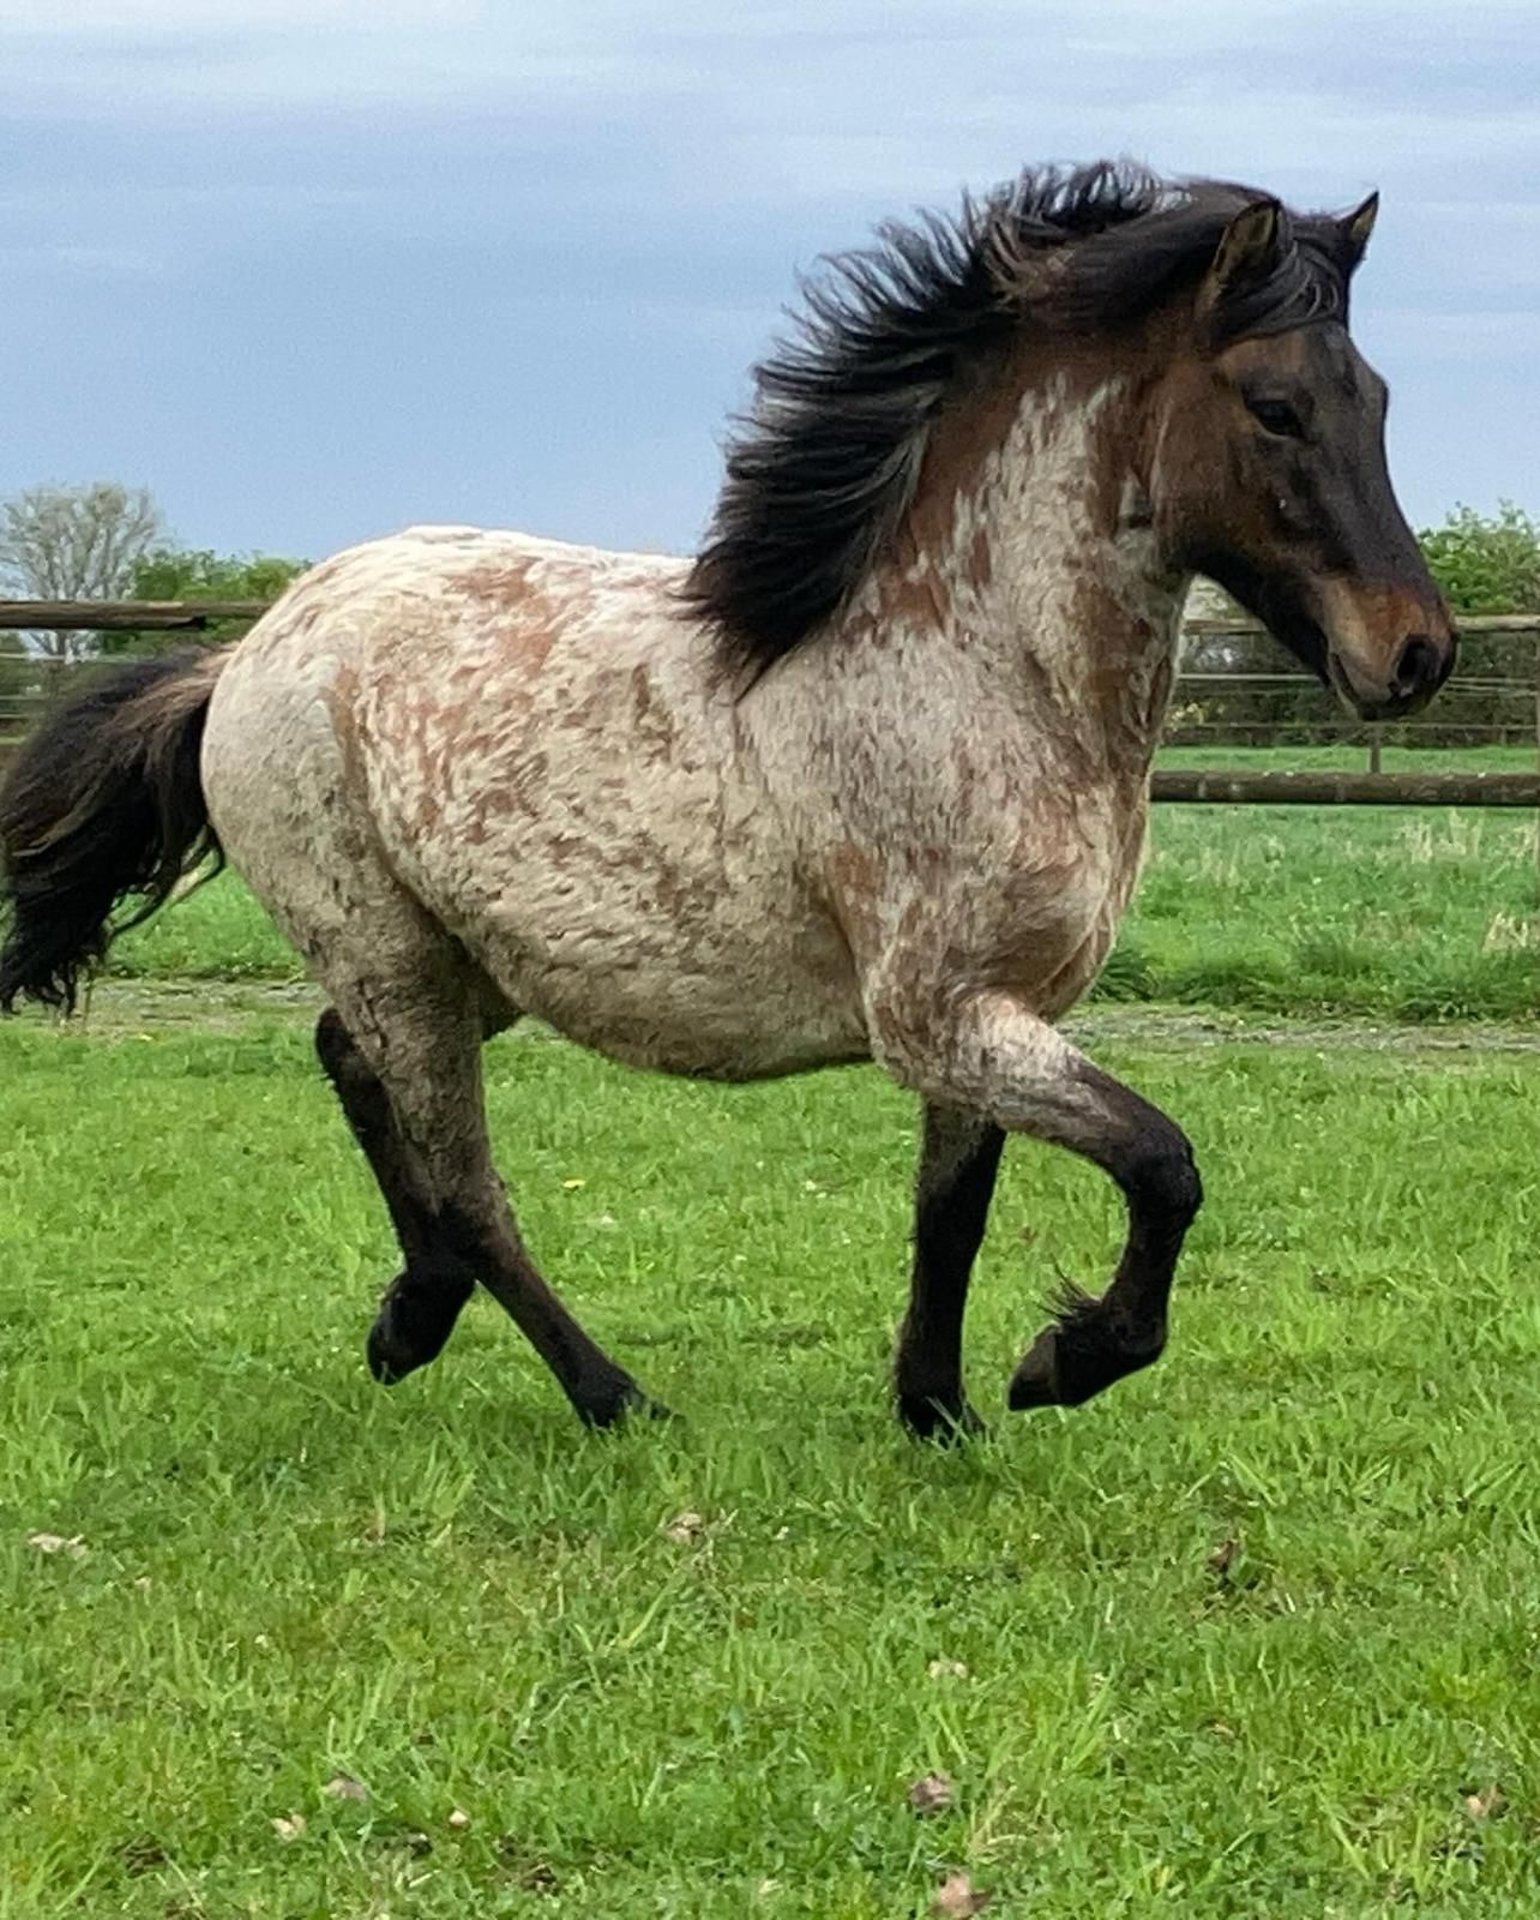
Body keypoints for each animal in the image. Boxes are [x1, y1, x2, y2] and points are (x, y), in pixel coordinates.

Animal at [0, 162, 1454, 1437]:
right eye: (1274, 407)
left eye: (1380, 398)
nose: (1416, 654)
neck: (978, 668)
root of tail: (247, 652)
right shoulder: (940, 1019)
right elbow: (1164, 1165)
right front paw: (1065, 1362)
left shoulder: (996, 1018)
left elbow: (953, 1213)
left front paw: (938, 1413)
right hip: (387, 950)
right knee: (468, 1184)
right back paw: (608, 1397)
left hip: (468, 962)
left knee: (351, 1069)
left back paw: (412, 1321)